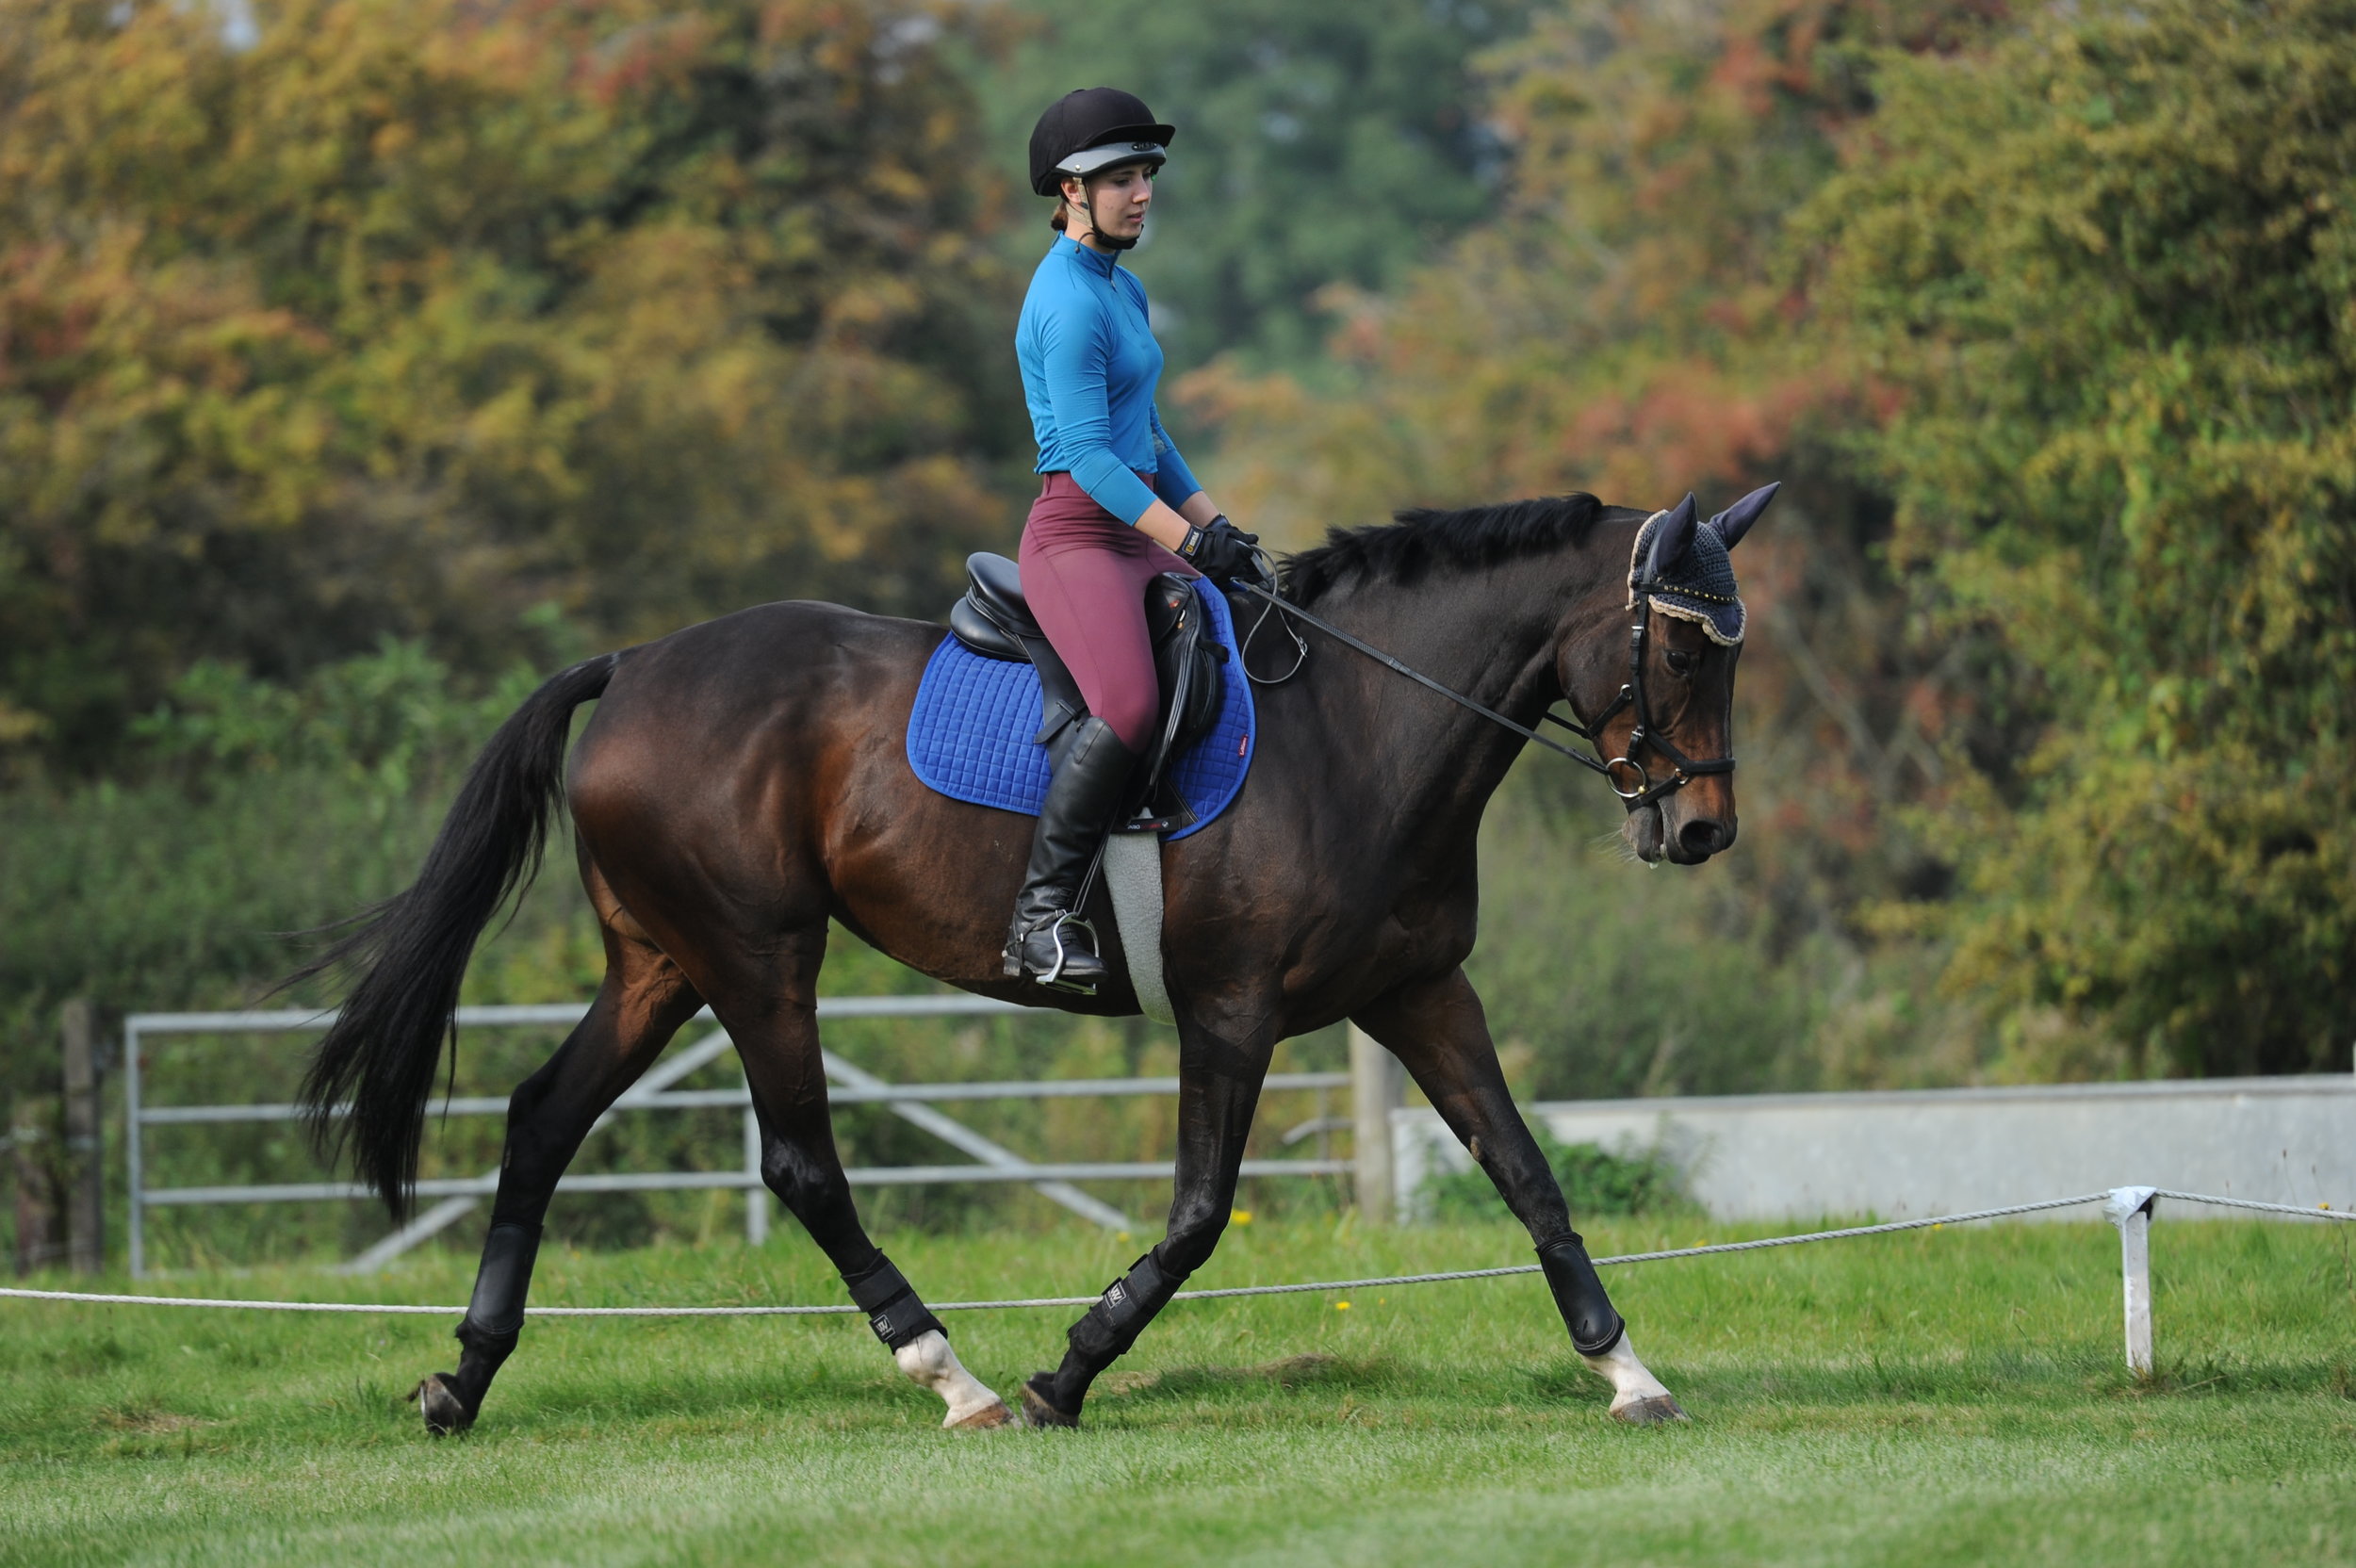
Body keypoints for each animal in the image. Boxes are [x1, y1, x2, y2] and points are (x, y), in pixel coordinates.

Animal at [295, 484, 1773, 1435]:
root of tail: (639, 661)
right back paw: (952, 1377)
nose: (1702, 827)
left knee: (542, 1119)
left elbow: (1526, 1175)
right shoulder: (1229, 1013)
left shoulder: (1420, 992)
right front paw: (1070, 1373)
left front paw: (1630, 1375)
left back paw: (463, 1381)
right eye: (1680, 642)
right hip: (757, 957)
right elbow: (1195, 1216)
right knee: (800, 1162)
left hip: (658, 963)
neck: (1363, 727)